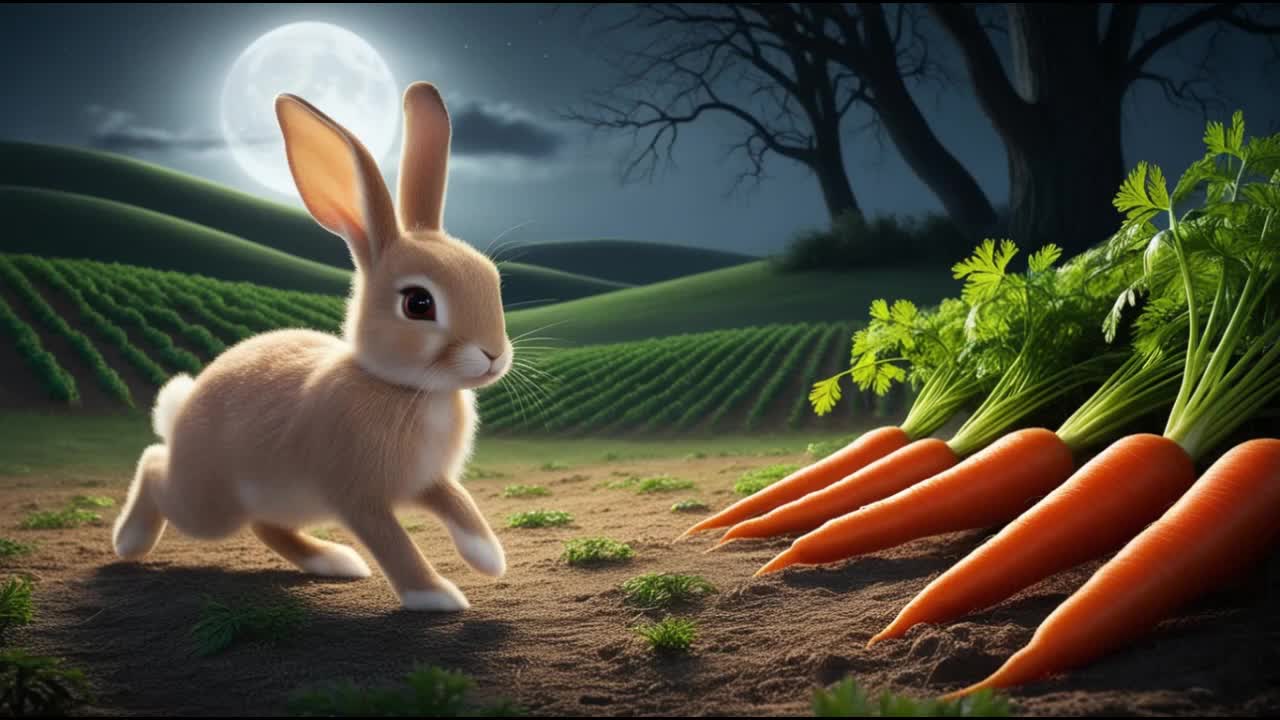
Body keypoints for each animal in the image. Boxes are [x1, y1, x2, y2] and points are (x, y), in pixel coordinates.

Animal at [111, 81, 512, 612]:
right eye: (419, 303)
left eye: (493, 281)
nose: (493, 355)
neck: (403, 387)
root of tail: (183, 412)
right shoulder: (359, 498)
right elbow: (395, 544)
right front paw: (436, 596)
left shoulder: (428, 482)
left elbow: (460, 504)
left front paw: (489, 557)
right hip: (208, 504)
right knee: (154, 468)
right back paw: (128, 541)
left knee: (266, 526)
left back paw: (334, 561)